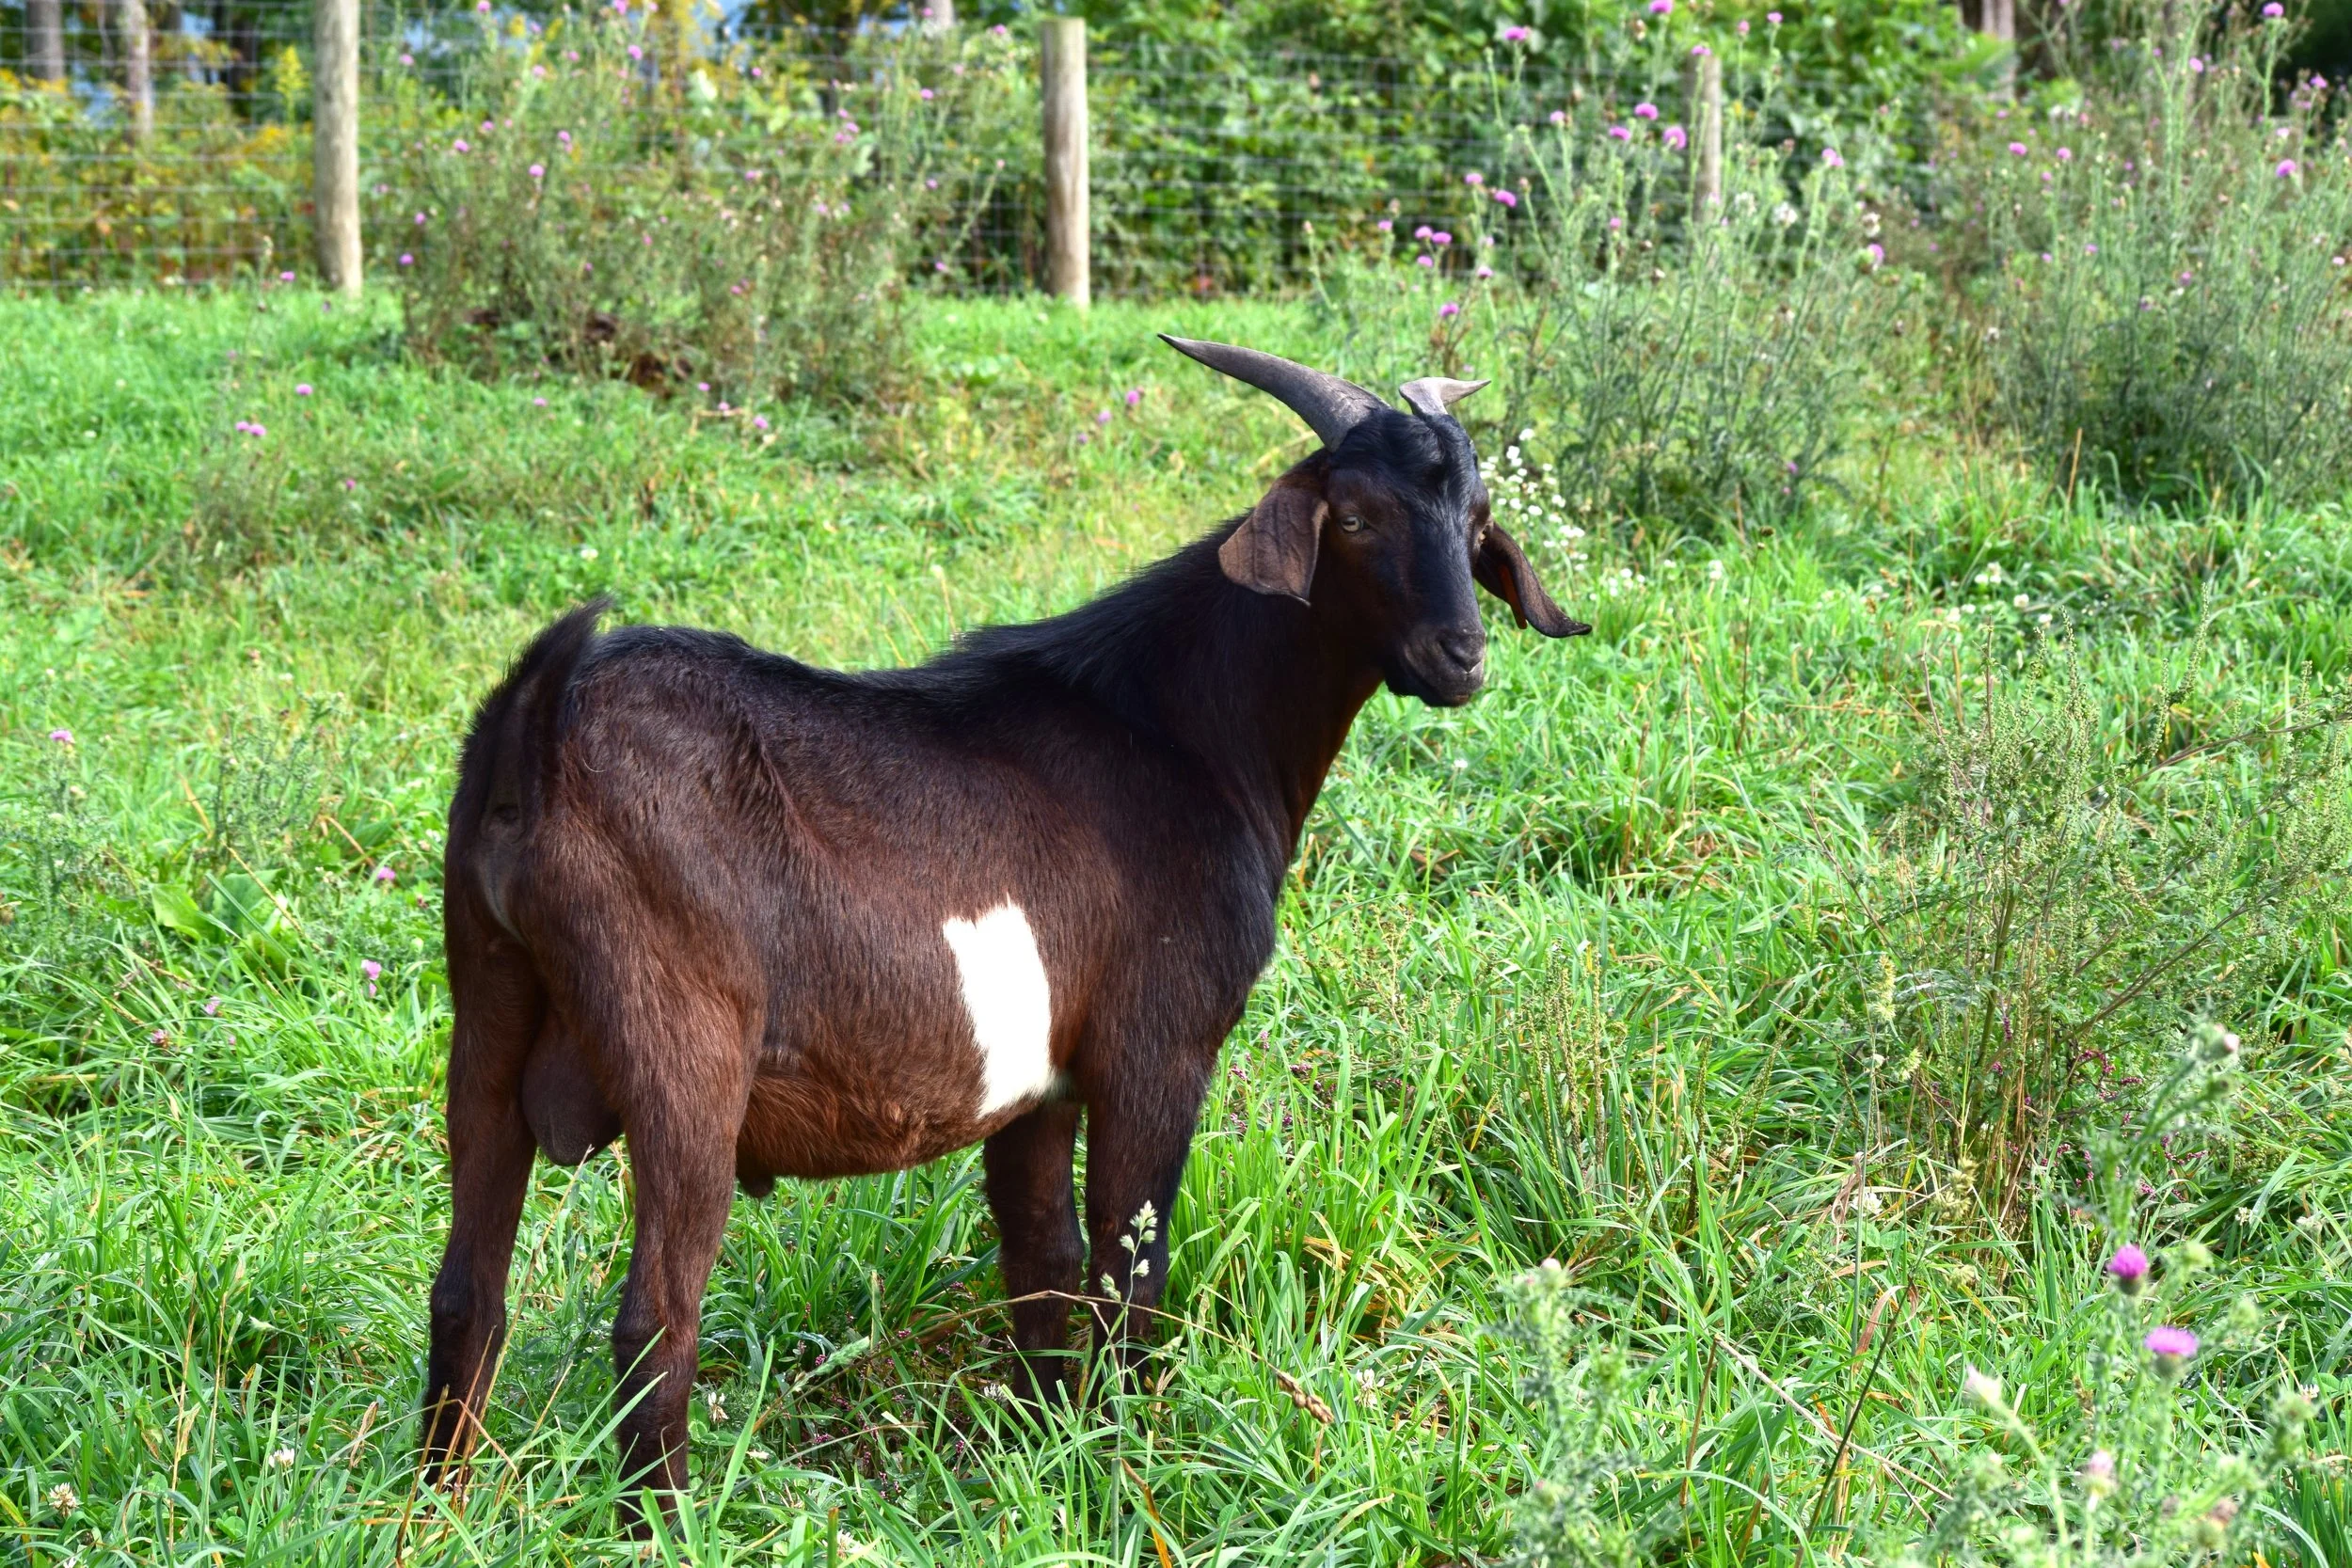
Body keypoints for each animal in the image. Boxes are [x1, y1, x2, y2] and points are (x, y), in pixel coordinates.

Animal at [418, 336, 1587, 1523]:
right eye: (1350, 516)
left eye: (1478, 513)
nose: (1460, 655)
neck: (1180, 729)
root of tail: (538, 730)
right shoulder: (1156, 1048)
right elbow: (1128, 1266)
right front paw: (1124, 1469)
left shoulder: (1036, 1085)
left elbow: (1042, 1258)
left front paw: (1045, 1448)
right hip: (684, 1051)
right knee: (656, 1317)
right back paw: (667, 1525)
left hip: (485, 1006)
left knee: (468, 1290)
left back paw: (432, 1506)